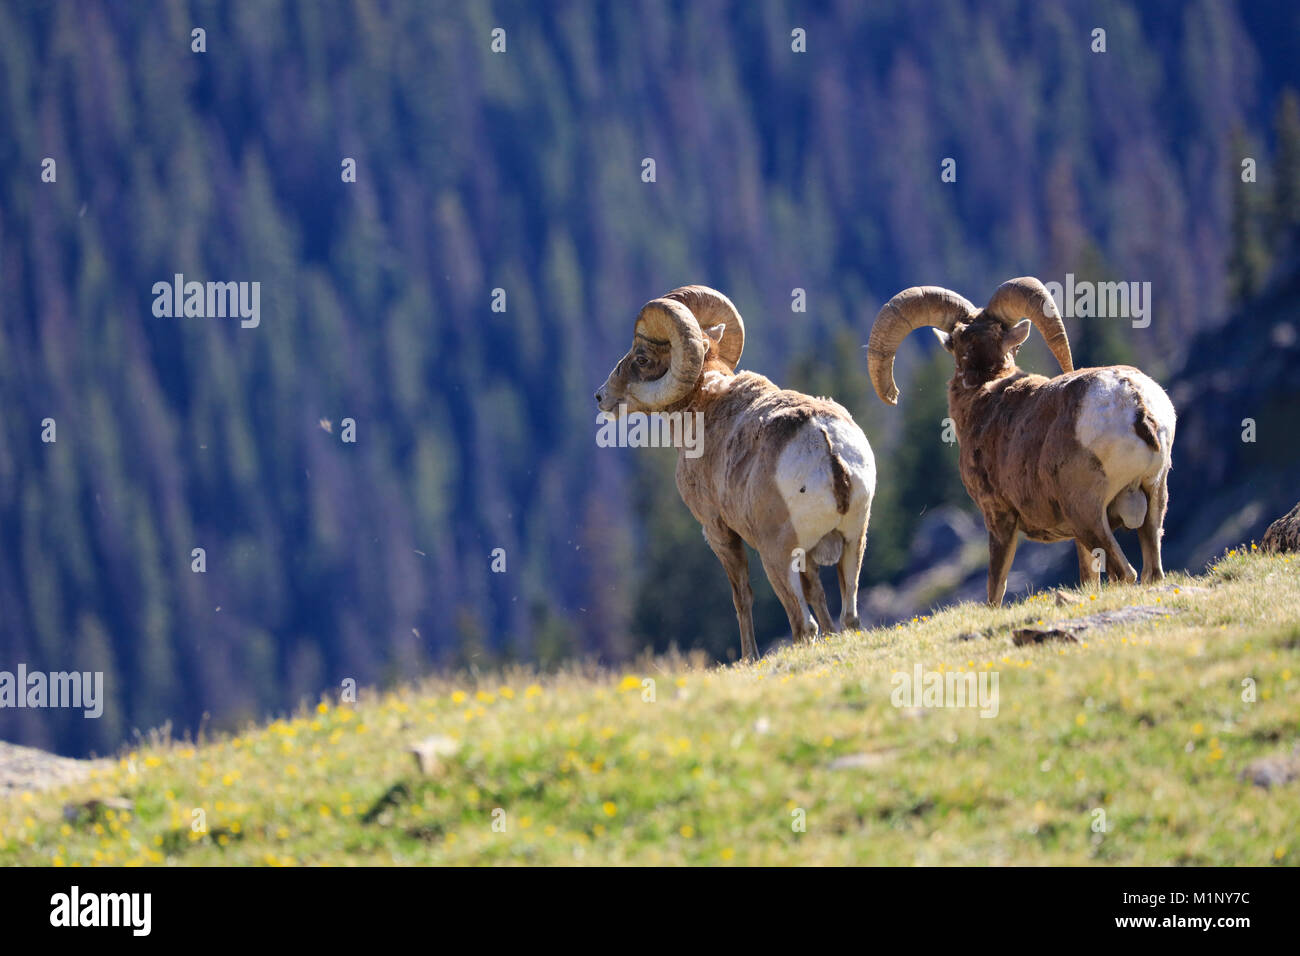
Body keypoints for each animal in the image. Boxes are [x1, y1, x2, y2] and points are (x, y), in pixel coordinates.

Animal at [596, 285, 876, 660]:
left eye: (641, 358)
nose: (601, 397)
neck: (704, 407)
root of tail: (823, 440)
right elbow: (817, 593)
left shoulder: (719, 532)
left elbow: (741, 596)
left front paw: (748, 657)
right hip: (853, 541)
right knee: (849, 616)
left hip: (778, 556)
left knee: (804, 625)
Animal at [865, 277, 1176, 604]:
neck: (984, 393)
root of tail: (1134, 401)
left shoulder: (998, 516)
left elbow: (996, 587)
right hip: (1154, 497)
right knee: (1152, 571)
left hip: (1087, 514)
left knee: (1125, 573)